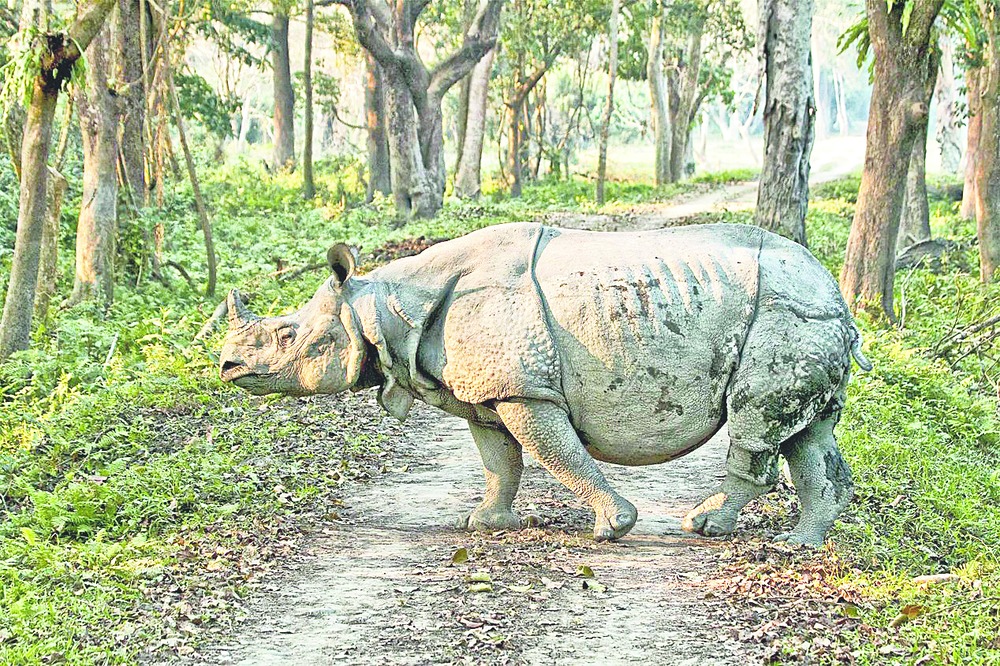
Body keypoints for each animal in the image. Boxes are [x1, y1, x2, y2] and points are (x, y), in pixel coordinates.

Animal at [219, 222, 871, 546]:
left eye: (286, 335)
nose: (226, 368)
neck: (383, 305)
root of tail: (836, 290)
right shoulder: (486, 394)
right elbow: (500, 460)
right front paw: (486, 525)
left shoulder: (526, 389)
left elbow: (560, 456)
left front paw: (614, 528)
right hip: (804, 311)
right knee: (807, 433)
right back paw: (801, 543)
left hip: (786, 312)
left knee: (757, 420)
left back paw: (706, 528)